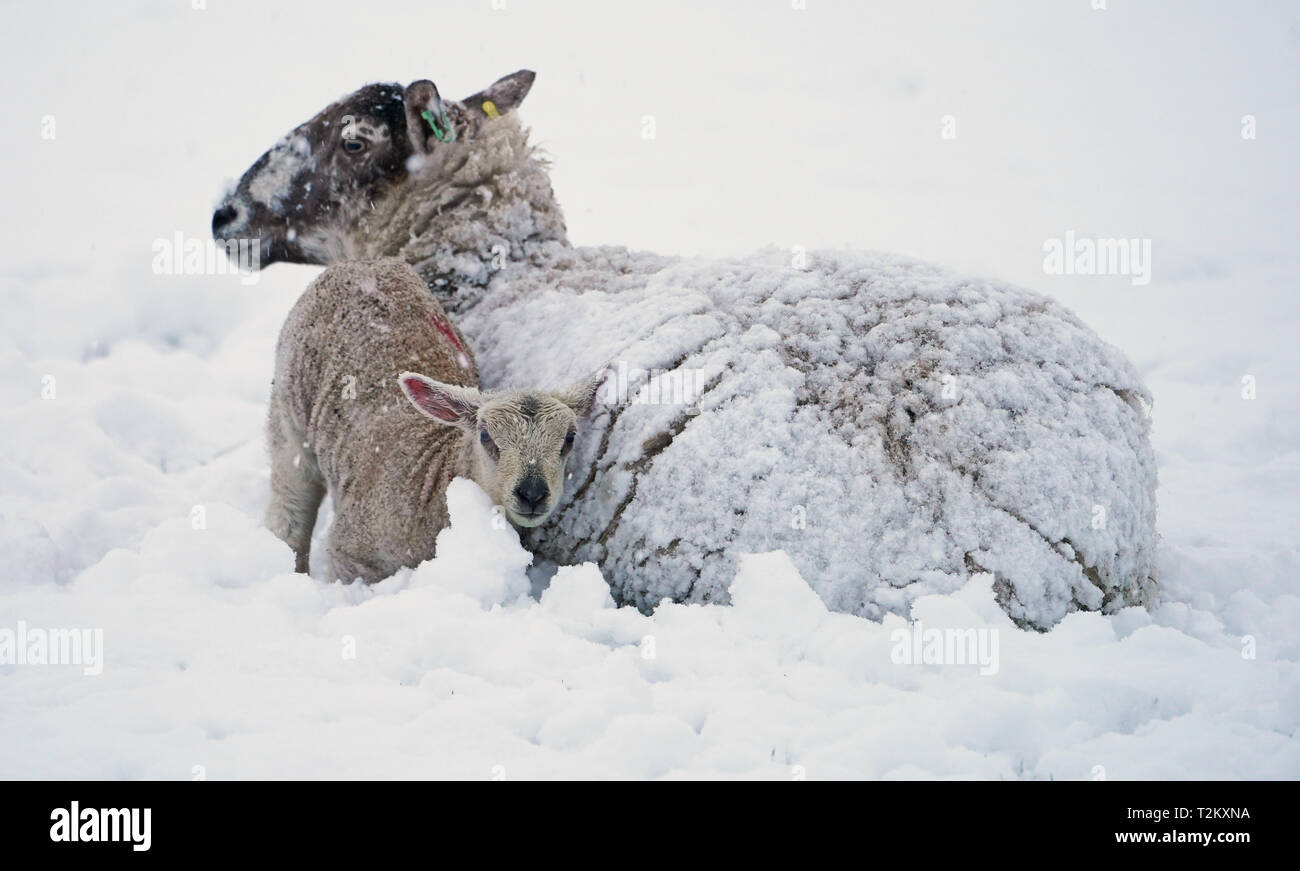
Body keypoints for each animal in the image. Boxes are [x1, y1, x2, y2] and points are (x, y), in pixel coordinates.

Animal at [266, 257, 604, 583]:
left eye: (570, 439)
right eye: (485, 436)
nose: (532, 493)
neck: (432, 482)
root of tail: (362, 263)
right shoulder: (351, 556)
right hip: (288, 411)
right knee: (290, 505)